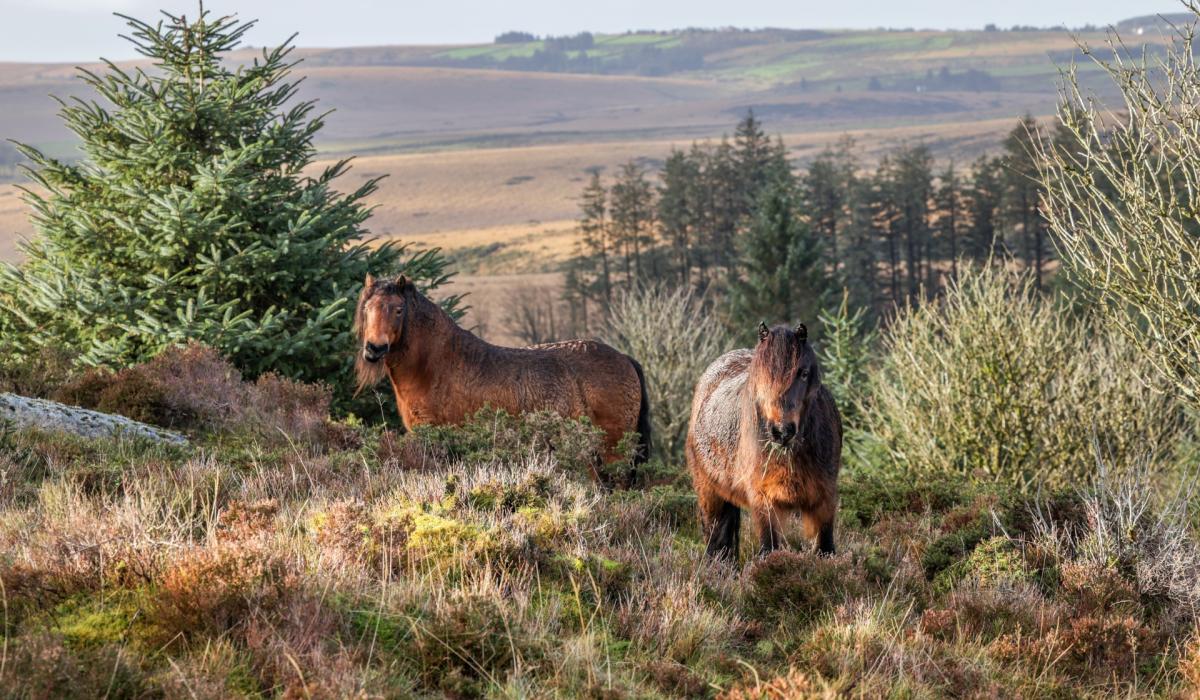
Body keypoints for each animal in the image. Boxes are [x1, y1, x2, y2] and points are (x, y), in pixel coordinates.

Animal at [353, 274, 652, 471]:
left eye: (398, 309)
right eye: (367, 309)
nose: (374, 348)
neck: (435, 366)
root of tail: (624, 358)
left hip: (613, 453)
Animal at [686, 322, 842, 560]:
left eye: (804, 373)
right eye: (760, 374)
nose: (782, 431)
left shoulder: (824, 502)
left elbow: (826, 550)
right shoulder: (765, 502)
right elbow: (768, 551)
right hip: (709, 493)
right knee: (716, 540)